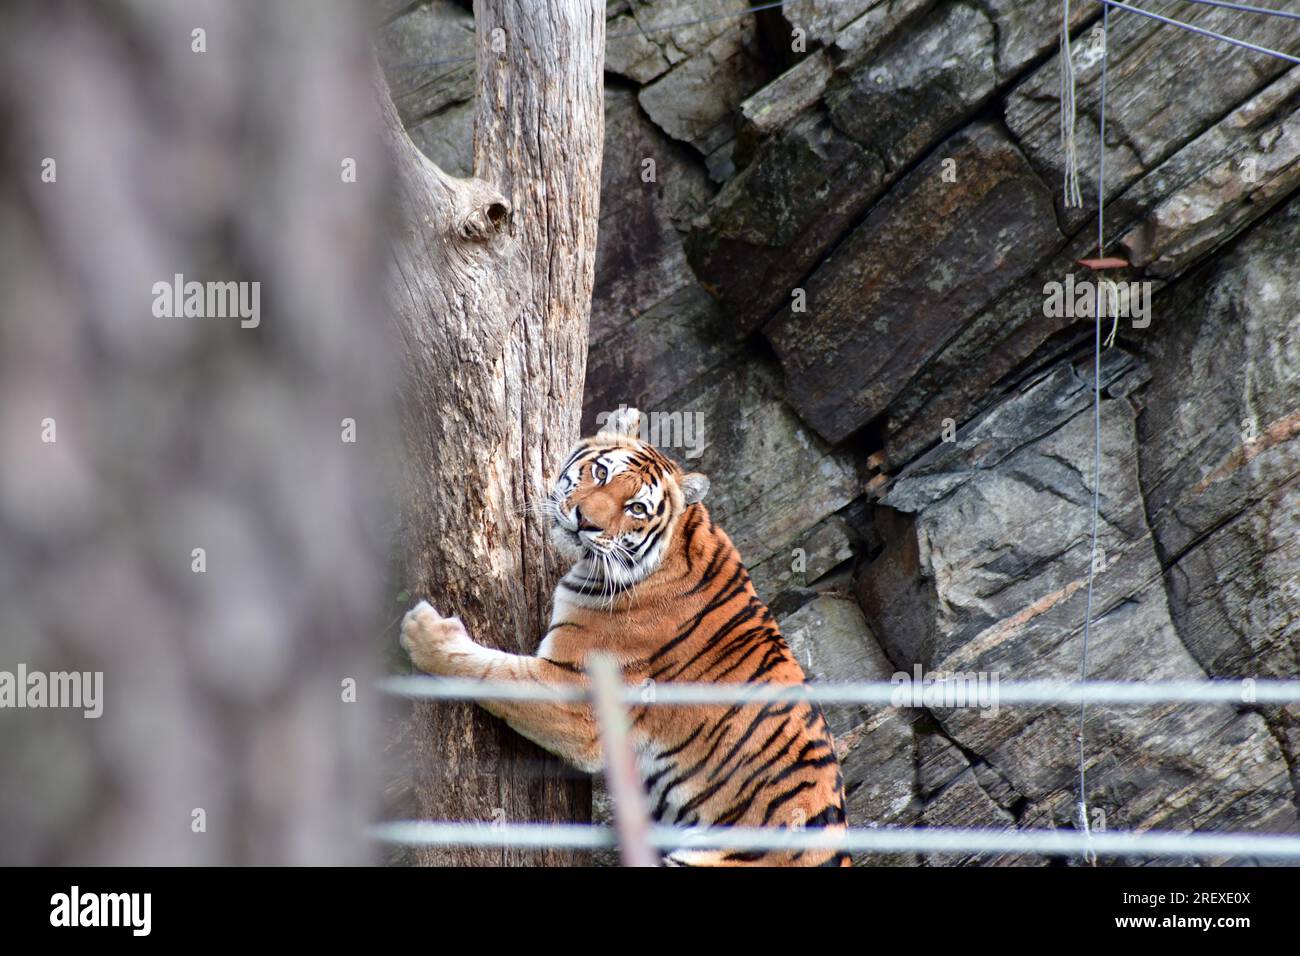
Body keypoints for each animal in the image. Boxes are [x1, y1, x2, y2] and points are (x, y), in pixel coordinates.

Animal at [400, 407, 850, 866]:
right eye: (601, 472)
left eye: (635, 508)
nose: (585, 522)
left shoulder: (578, 696)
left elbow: (491, 673)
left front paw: (424, 635)